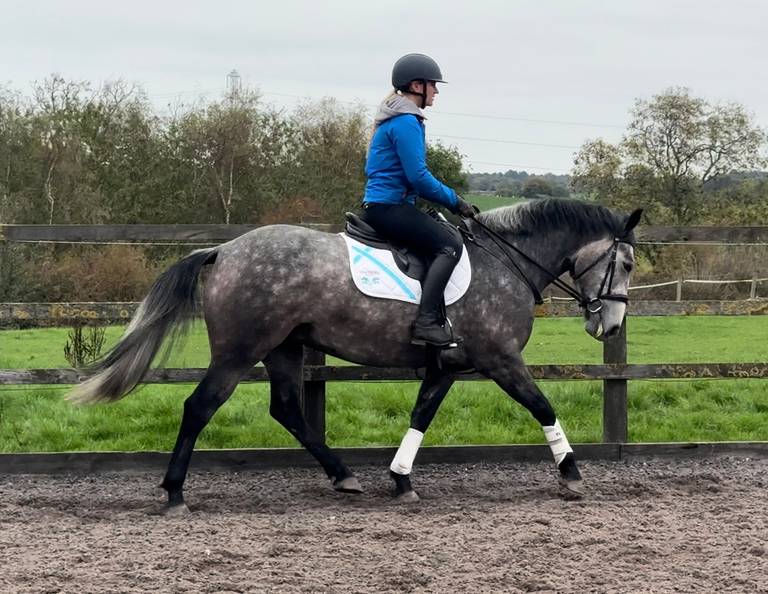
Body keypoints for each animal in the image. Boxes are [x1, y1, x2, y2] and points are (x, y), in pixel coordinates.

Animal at [68, 198, 642, 514]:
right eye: (629, 263)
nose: (610, 325)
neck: (506, 261)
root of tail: (224, 250)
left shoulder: (447, 366)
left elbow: (421, 415)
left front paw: (401, 480)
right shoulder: (499, 359)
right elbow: (542, 405)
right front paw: (571, 473)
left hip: (286, 348)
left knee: (287, 409)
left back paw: (344, 475)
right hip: (240, 351)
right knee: (200, 407)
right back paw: (174, 493)